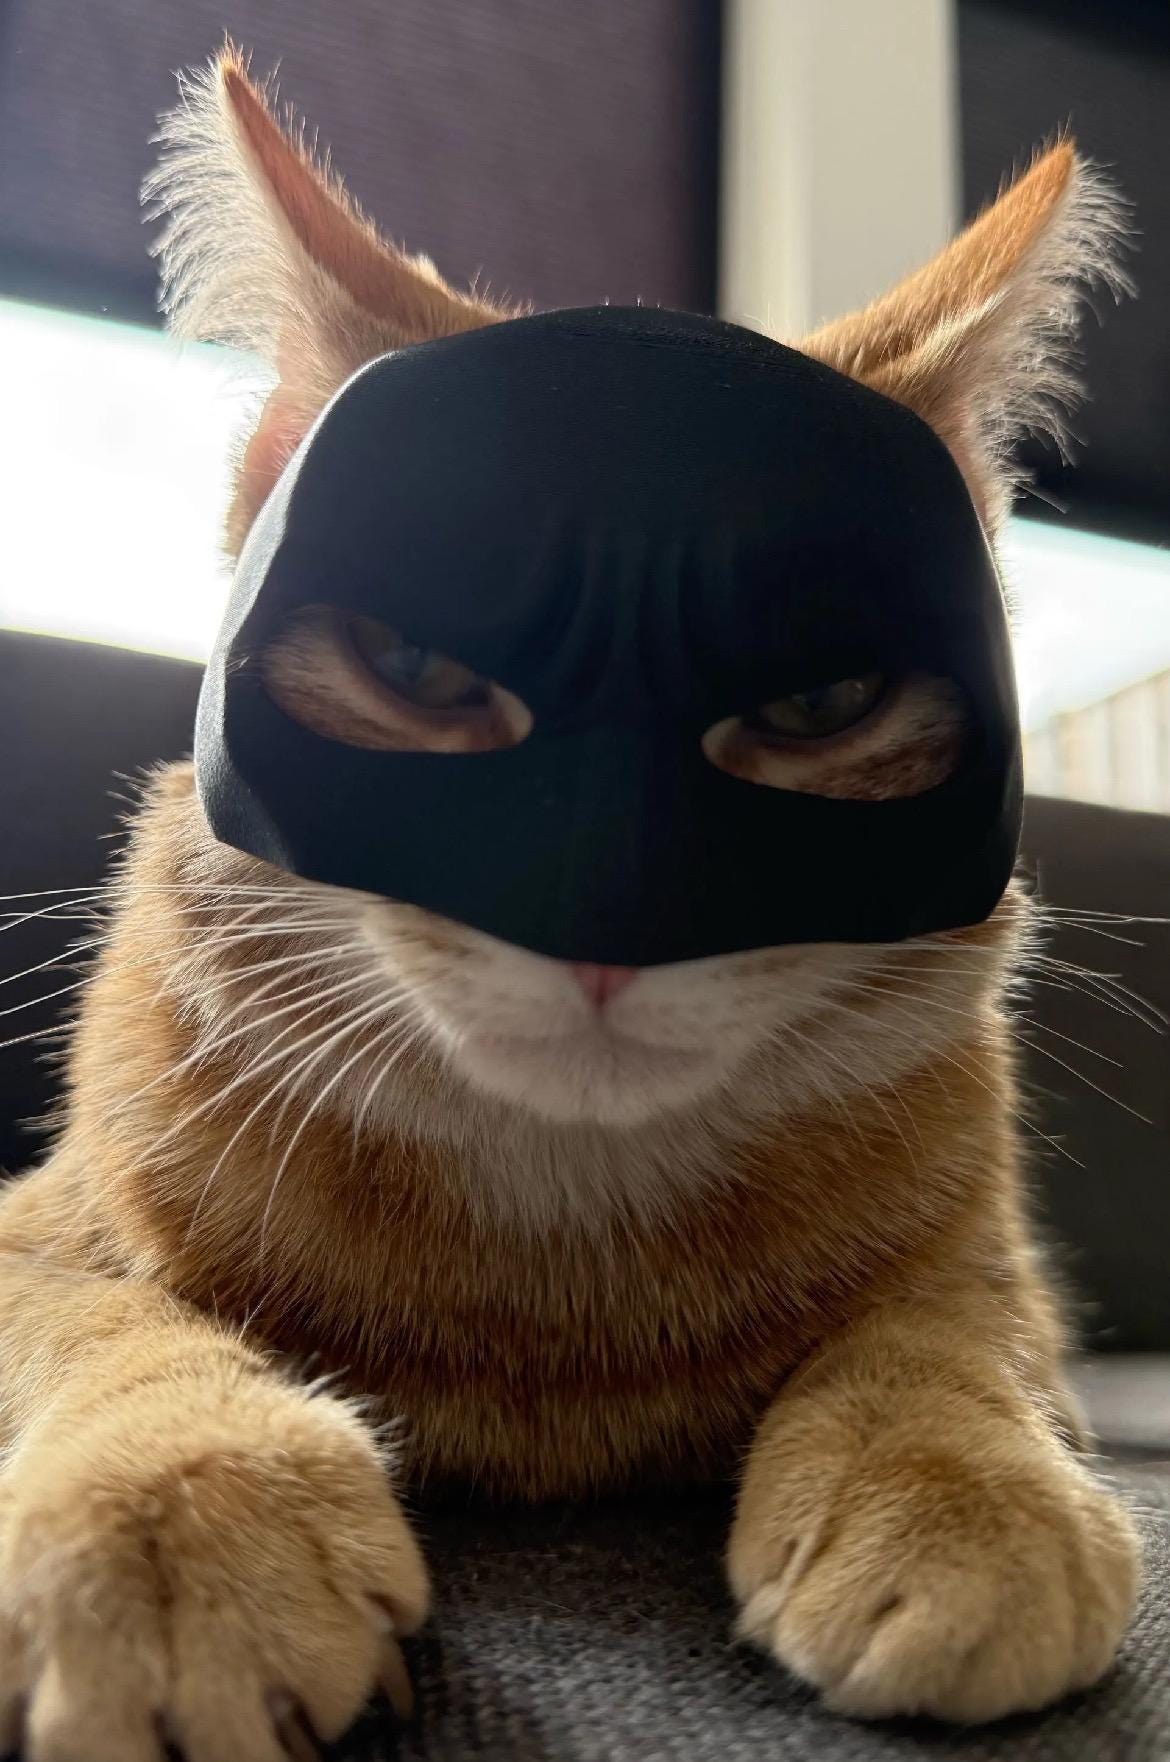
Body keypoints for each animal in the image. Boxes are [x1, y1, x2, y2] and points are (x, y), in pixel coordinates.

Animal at [0, 47, 1139, 1762]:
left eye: (821, 698)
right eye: (414, 662)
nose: (606, 906)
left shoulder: (995, 1265)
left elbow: (953, 1326)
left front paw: (955, 1482)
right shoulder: (37, 1217)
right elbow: (86, 1312)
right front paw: (175, 1498)